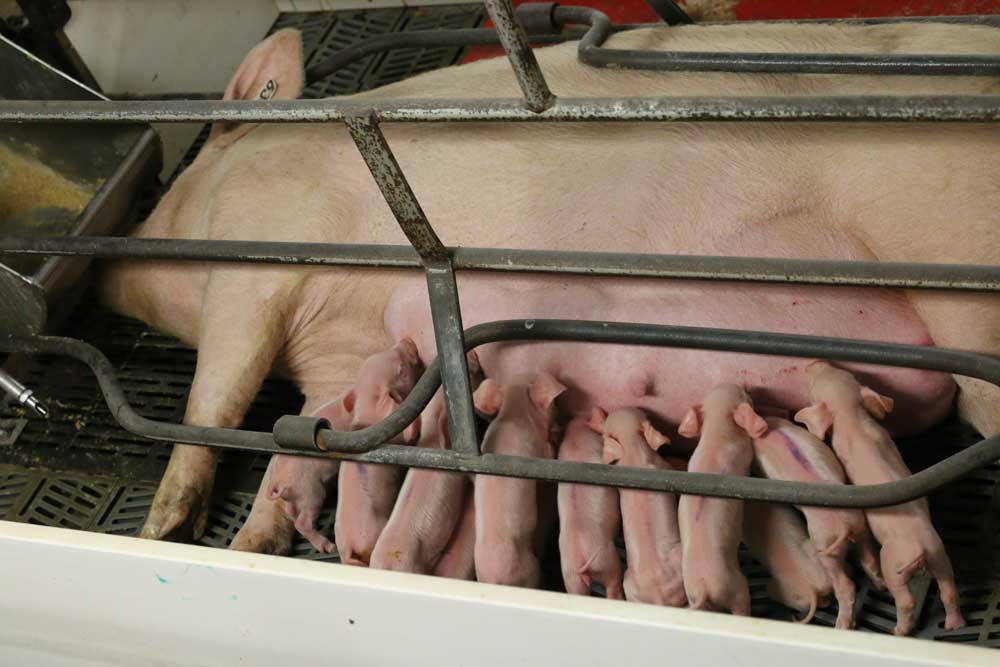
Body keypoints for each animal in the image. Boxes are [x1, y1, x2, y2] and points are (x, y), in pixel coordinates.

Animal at [472, 372, 566, 588]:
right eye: (554, 406)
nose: (559, 410)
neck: (515, 411)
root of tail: (496, 580)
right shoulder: (539, 449)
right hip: (531, 570)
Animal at [675, 384, 767, 615]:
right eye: (745, 397)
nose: (747, 386)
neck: (716, 437)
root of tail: (704, 588)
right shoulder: (744, 454)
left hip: (693, 593)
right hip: (737, 589)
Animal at [751, 416, 884, 628]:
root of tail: (844, 526)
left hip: (824, 545)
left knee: (845, 585)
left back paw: (841, 625)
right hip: (860, 527)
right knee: (869, 562)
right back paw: (880, 588)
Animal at [795, 361, 965, 635]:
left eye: (813, 387)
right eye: (846, 374)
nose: (814, 362)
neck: (852, 417)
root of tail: (919, 549)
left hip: (893, 564)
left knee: (905, 600)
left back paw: (897, 631)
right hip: (940, 557)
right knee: (949, 589)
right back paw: (954, 626)